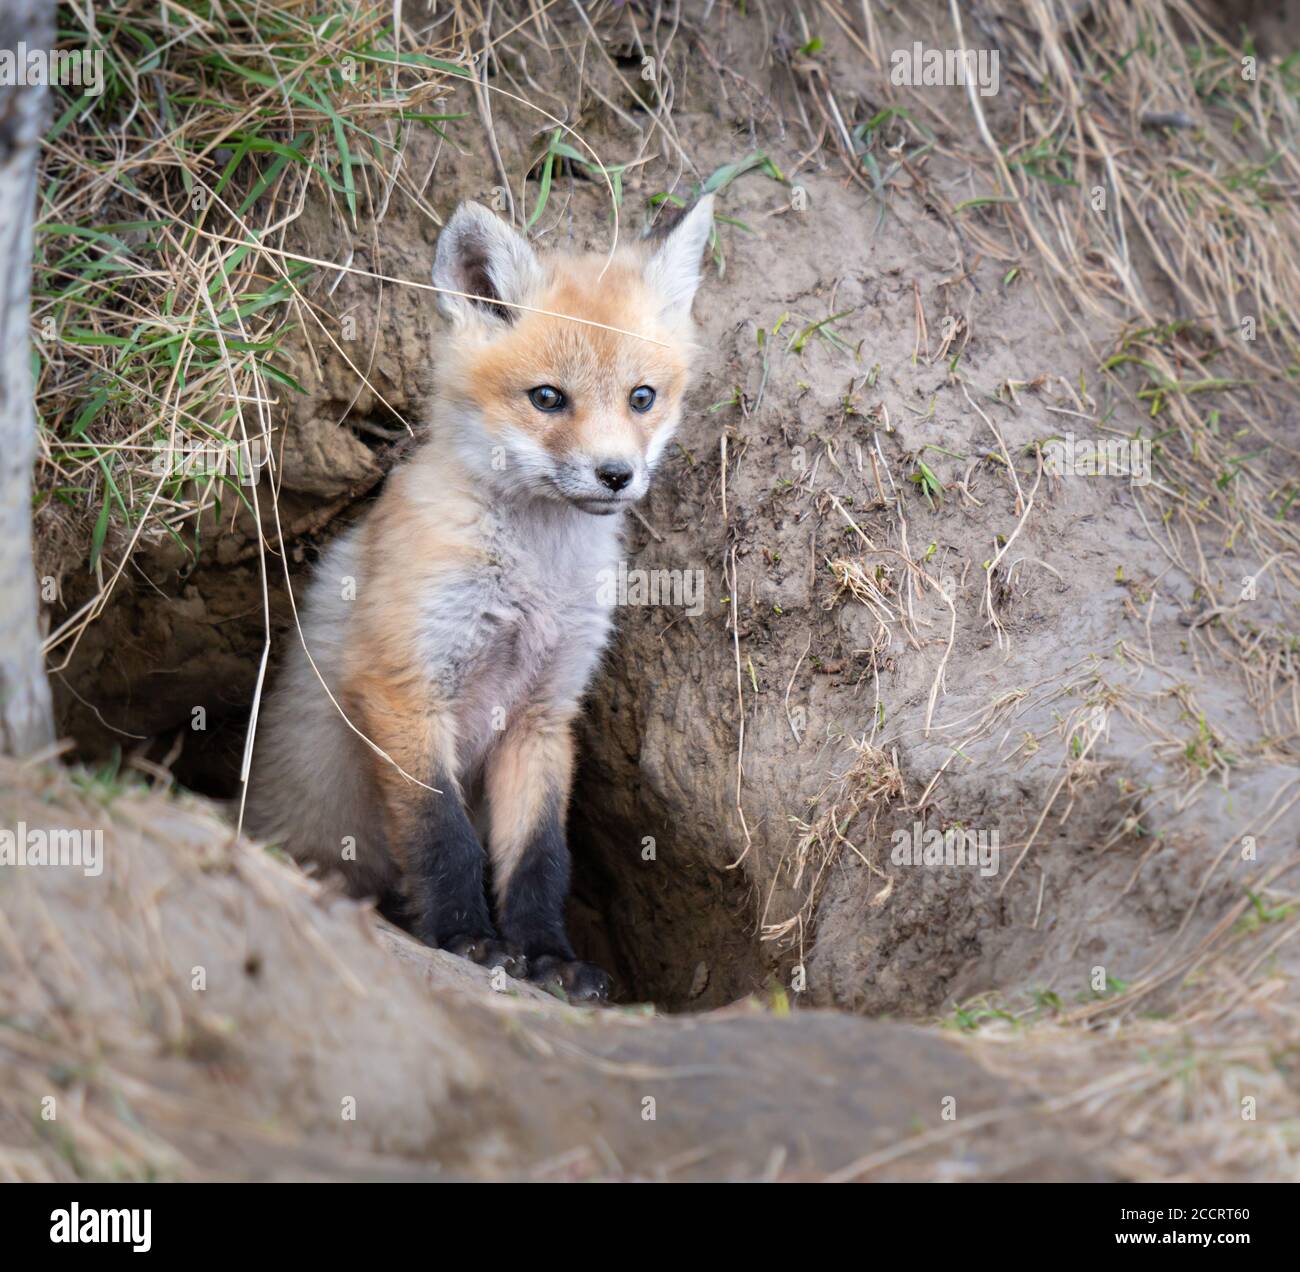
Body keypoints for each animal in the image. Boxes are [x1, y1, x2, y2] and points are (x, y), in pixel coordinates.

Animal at [246, 194, 716, 1001]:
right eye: (548, 398)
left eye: (642, 398)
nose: (616, 474)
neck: (534, 580)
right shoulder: (405, 687)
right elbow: (444, 837)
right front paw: (467, 939)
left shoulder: (543, 713)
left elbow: (539, 857)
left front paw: (549, 955)